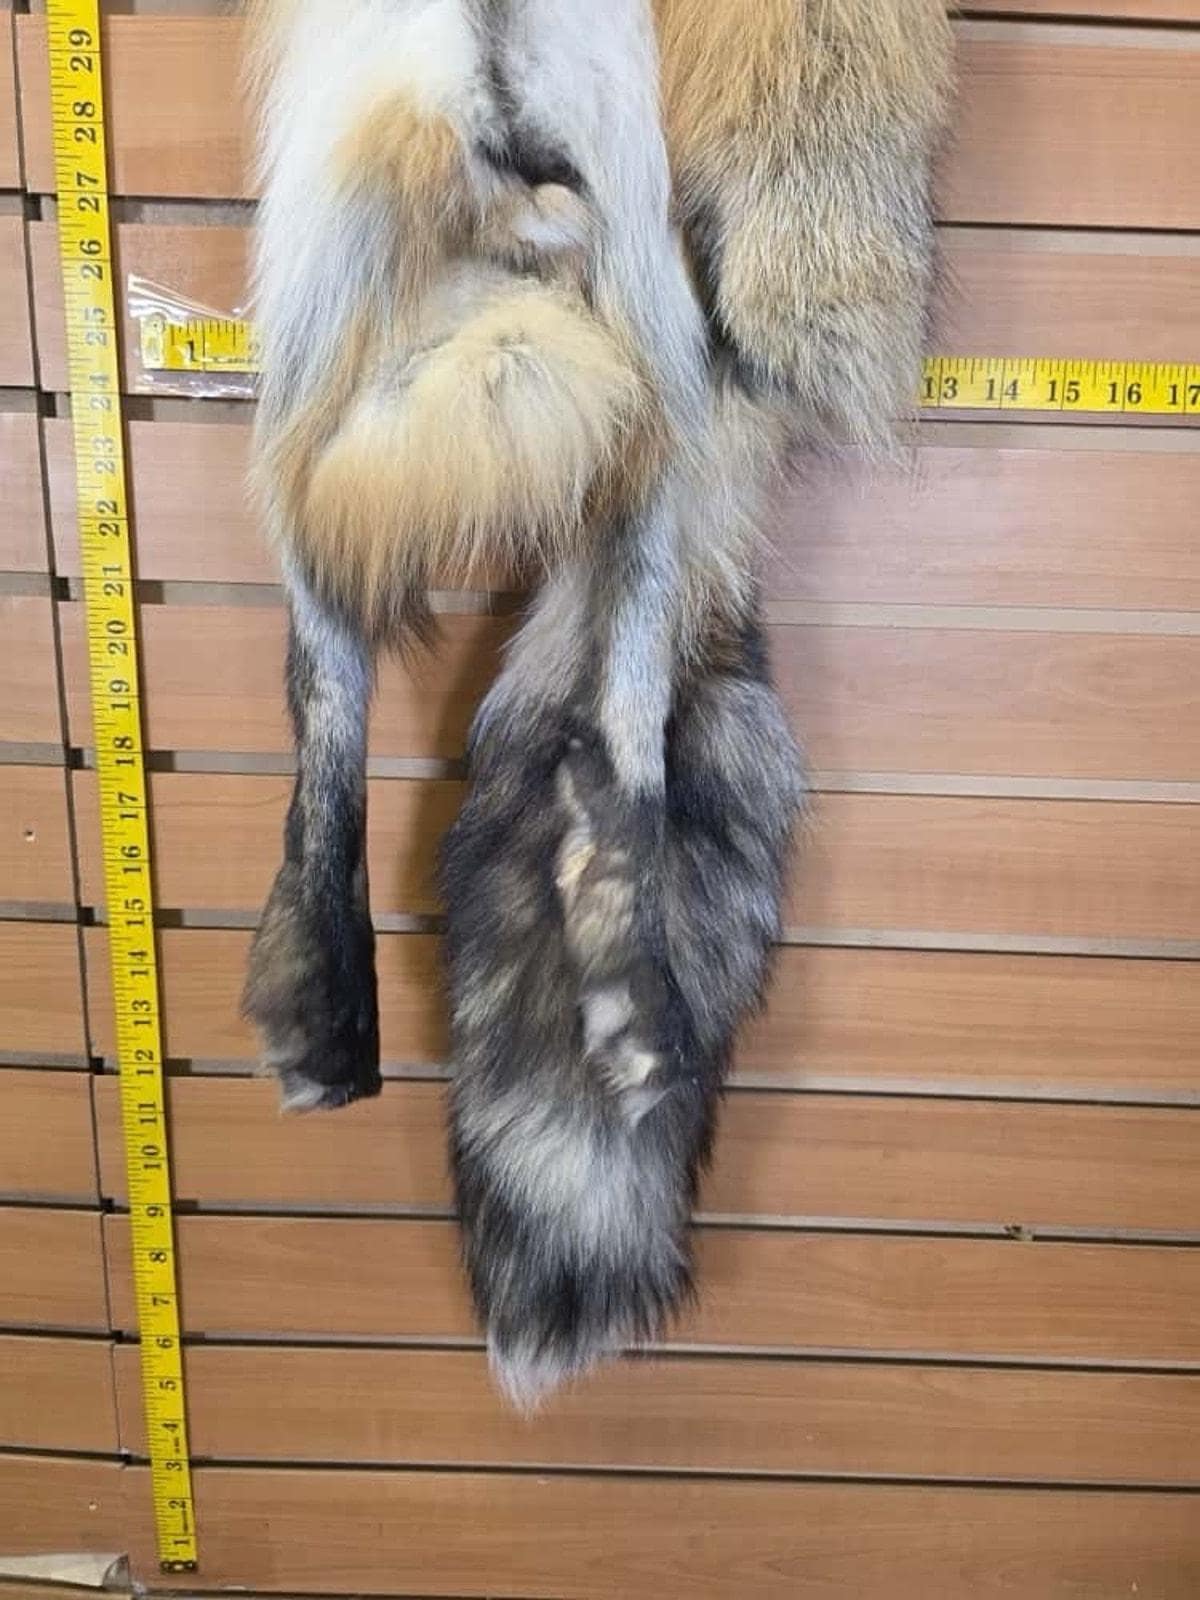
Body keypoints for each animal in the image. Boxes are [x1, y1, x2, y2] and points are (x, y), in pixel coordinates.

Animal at [242, 0, 954, 1407]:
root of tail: (490, 94)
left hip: (346, 303)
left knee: (332, 672)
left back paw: (353, 997)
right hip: (584, 307)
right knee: (601, 702)